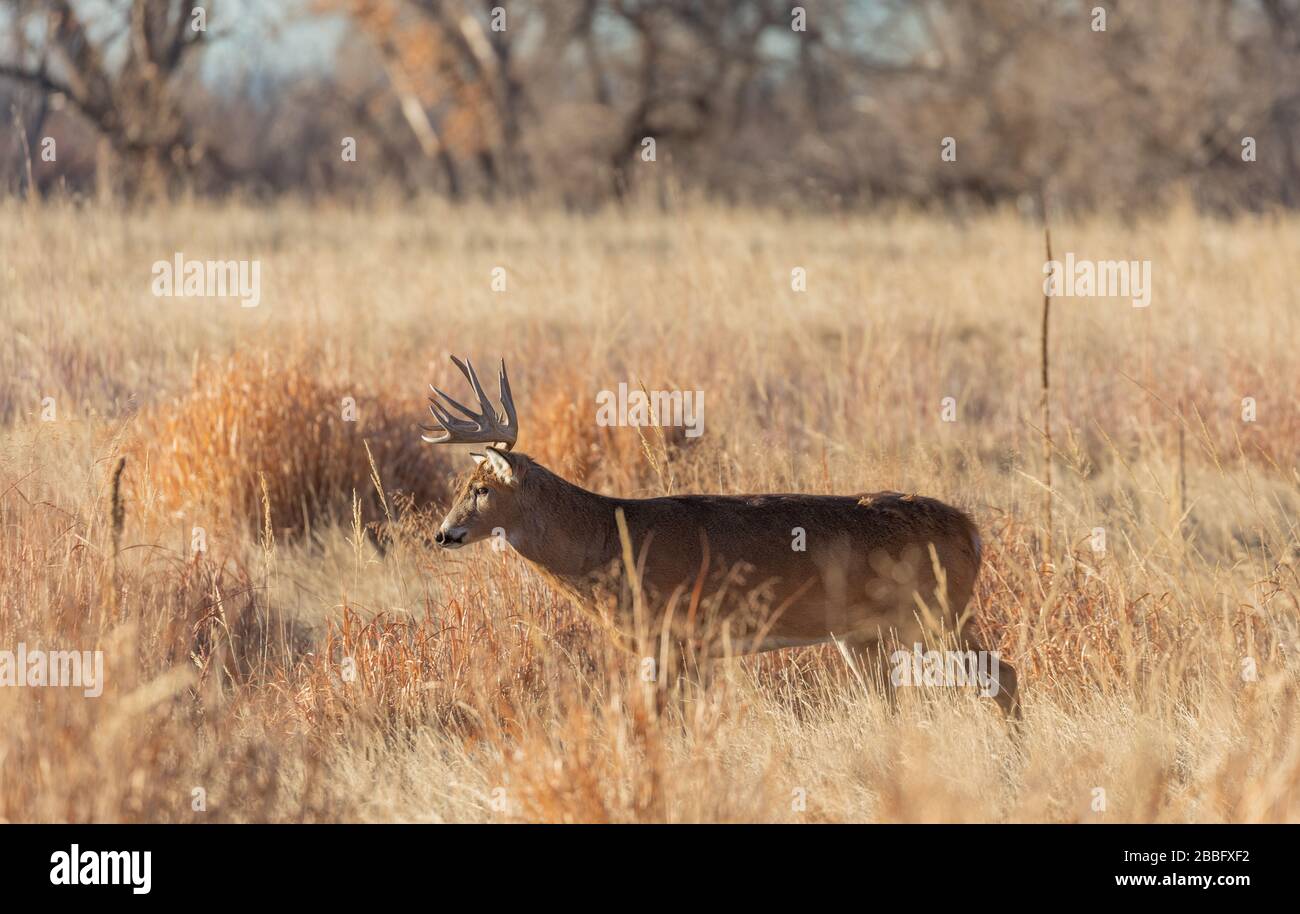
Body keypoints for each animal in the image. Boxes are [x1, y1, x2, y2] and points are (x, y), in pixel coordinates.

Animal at [423, 355, 1019, 719]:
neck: (611, 543)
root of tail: (971, 530)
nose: (443, 534)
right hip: (864, 635)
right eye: (461, 486)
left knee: (1004, 675)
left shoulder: (672, 635)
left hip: (942, 609)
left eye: (481, 488)